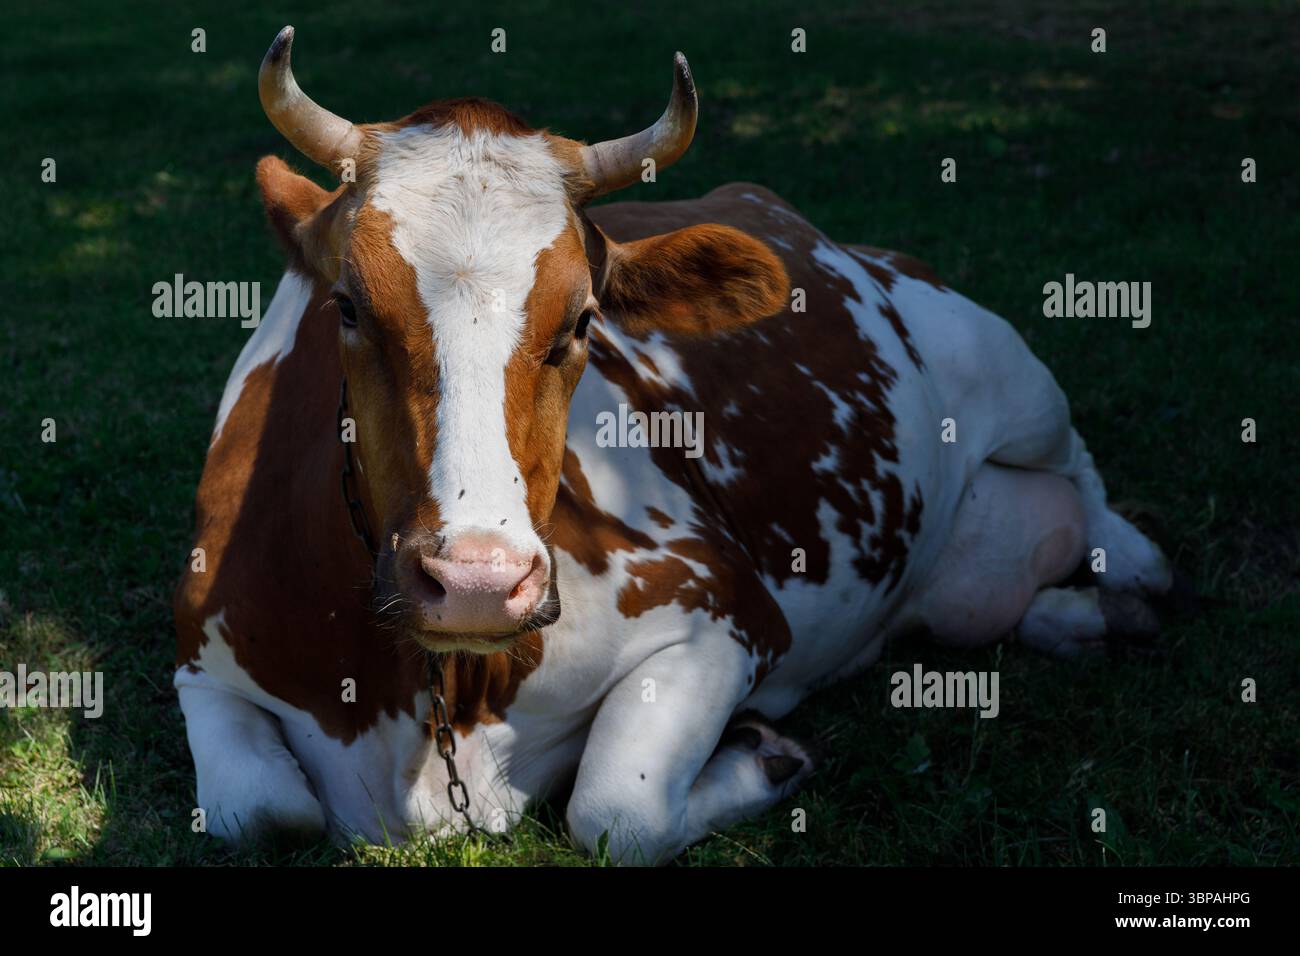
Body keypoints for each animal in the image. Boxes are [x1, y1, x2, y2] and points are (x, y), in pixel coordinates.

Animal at [173, 26, 1174, 865]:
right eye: (347, 306)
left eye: (582, 320)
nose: (477, 581)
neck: (441, 700)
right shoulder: (199, 666)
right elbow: (260, 813)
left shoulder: (720, 613)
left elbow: (618, 813)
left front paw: (764, 756)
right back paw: (1075, 617)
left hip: (1002, 364)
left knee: (1076, 464)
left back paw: (1133, 572)